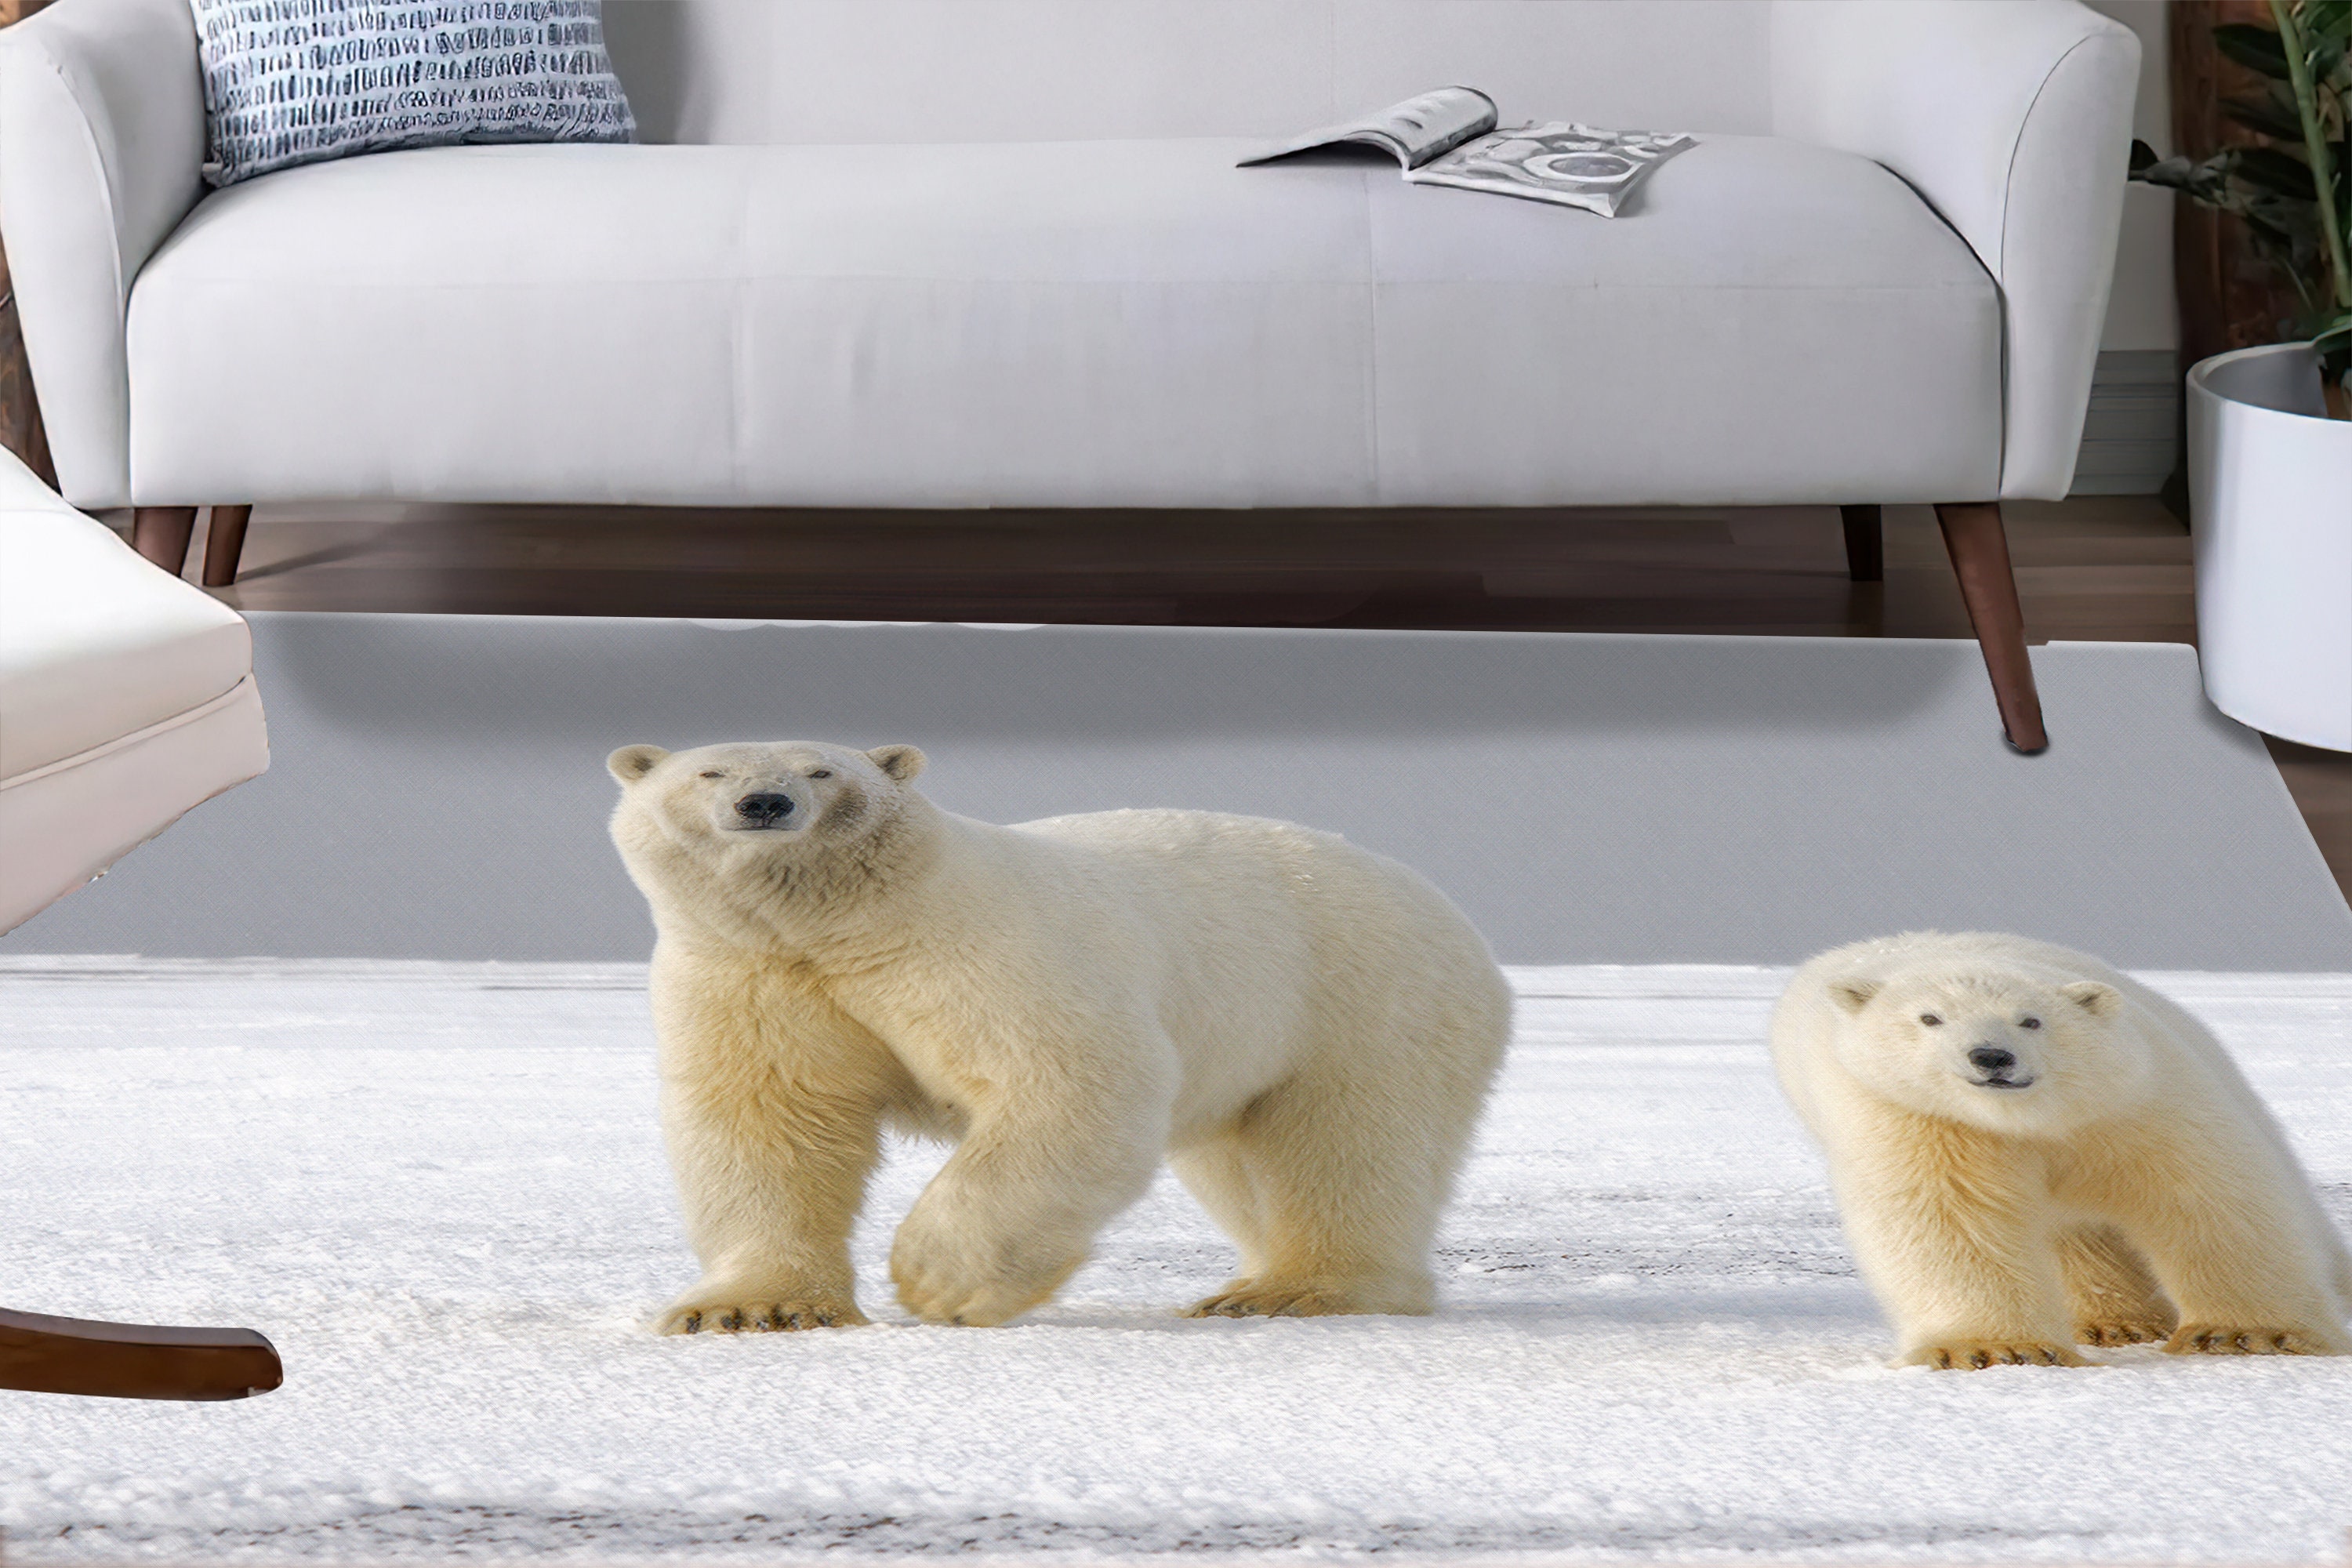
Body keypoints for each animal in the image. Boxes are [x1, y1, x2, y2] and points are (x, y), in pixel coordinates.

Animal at [606, 737, 1513, 1332]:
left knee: (1345, 1143)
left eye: (822, 770)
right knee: (1239, 1161)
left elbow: (1069, 1080)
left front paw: (937, 1281)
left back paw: (1292, 1290)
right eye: (709, 771)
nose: (764, 803)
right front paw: (749, 1307)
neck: (847, 928)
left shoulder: (975, 948)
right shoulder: (754, 976)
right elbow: (769, 1121)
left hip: (1361, 1001)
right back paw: (1257, 1276)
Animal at [1771, 931, 2352, 1368]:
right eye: (1929, 1018)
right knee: (2079, 1238)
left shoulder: (2127, 1100)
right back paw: (2115, 1324)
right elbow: (1951, 1217)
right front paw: (1999, 1349)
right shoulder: (1922, 1120)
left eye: (2031, 1019)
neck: (2032, 1120)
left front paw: (2245, 1335)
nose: (1991, 1056)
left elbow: (2206, 1192)